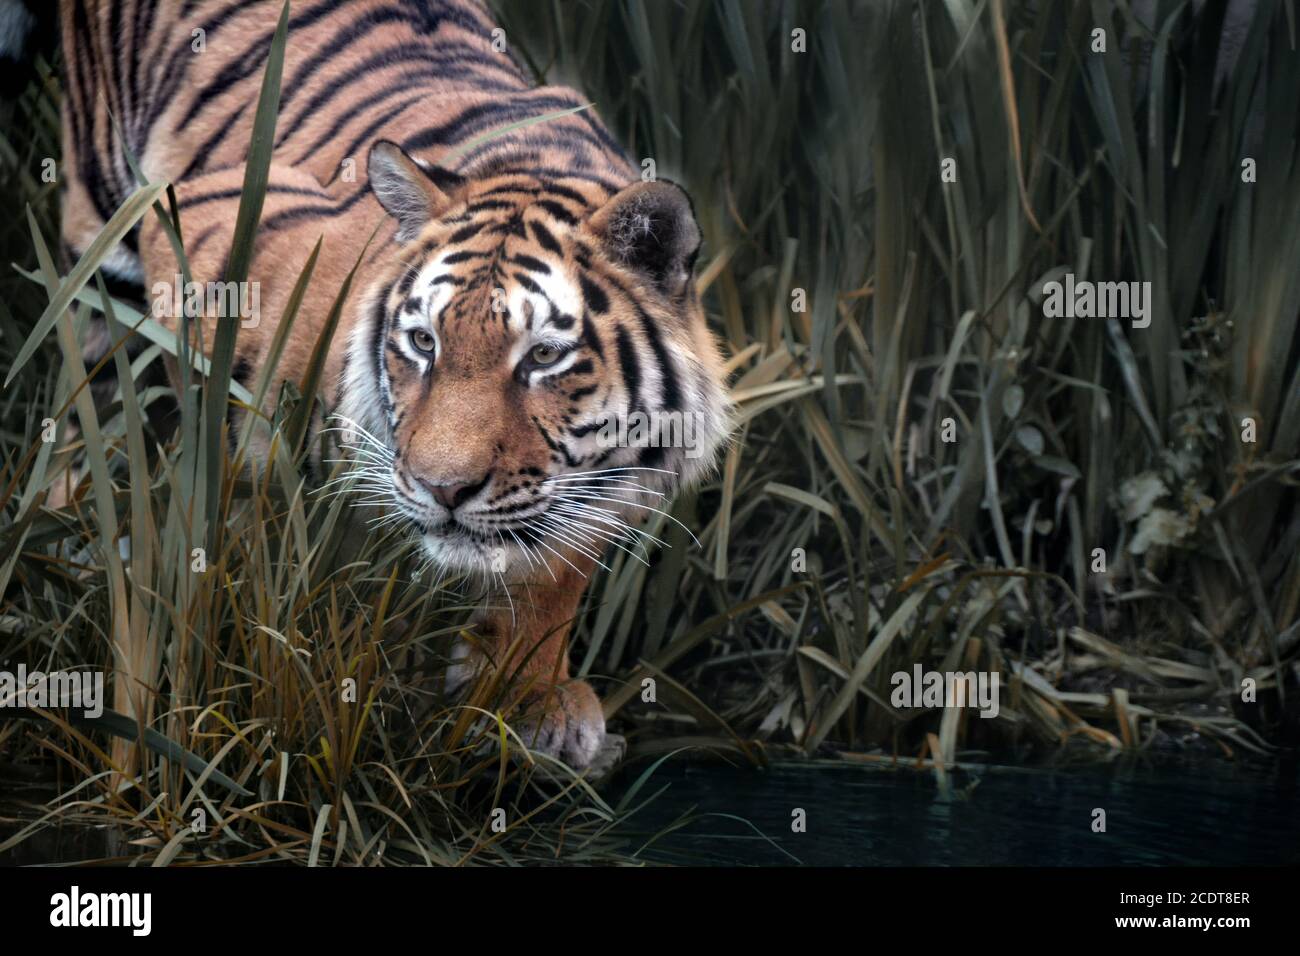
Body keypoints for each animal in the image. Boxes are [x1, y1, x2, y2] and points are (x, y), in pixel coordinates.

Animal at [48, 0, 732, 769]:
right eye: (424, 343)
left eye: (543, 357)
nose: (444, 490)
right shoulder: (212, 230)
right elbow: (243, 496)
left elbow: (554, 569)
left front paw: (526, 696)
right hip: (100, 251)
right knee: (84, 399)